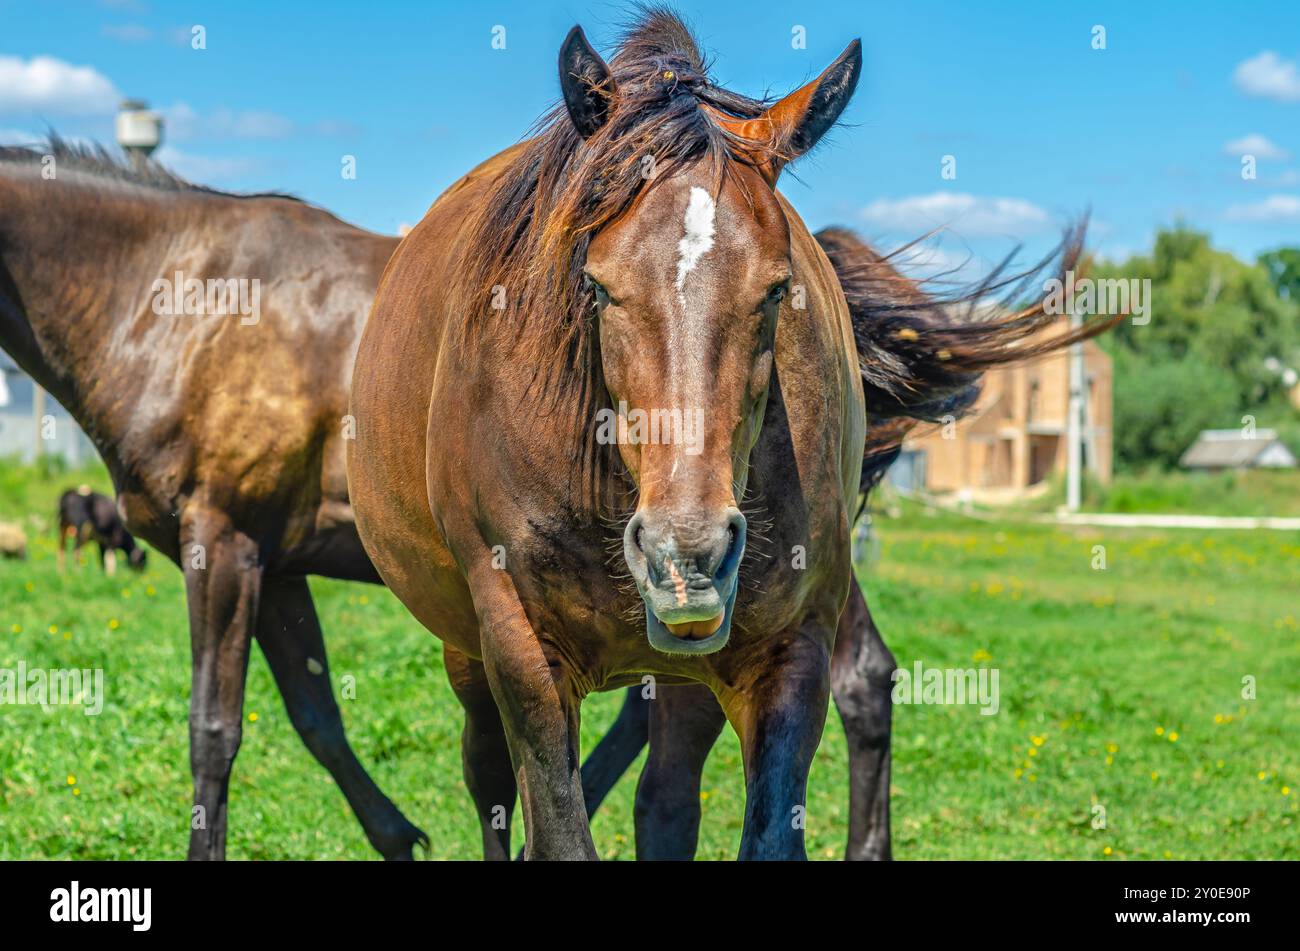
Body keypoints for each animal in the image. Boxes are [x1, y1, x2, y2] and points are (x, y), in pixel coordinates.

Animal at [348, 10, 1108, 859]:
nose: (687, 553)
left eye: (777, 288)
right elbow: (555, 825)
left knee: (667, 798)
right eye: (596, 284)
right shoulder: (521, 653)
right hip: (469, 654)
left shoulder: (788, 649)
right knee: (491, 783)